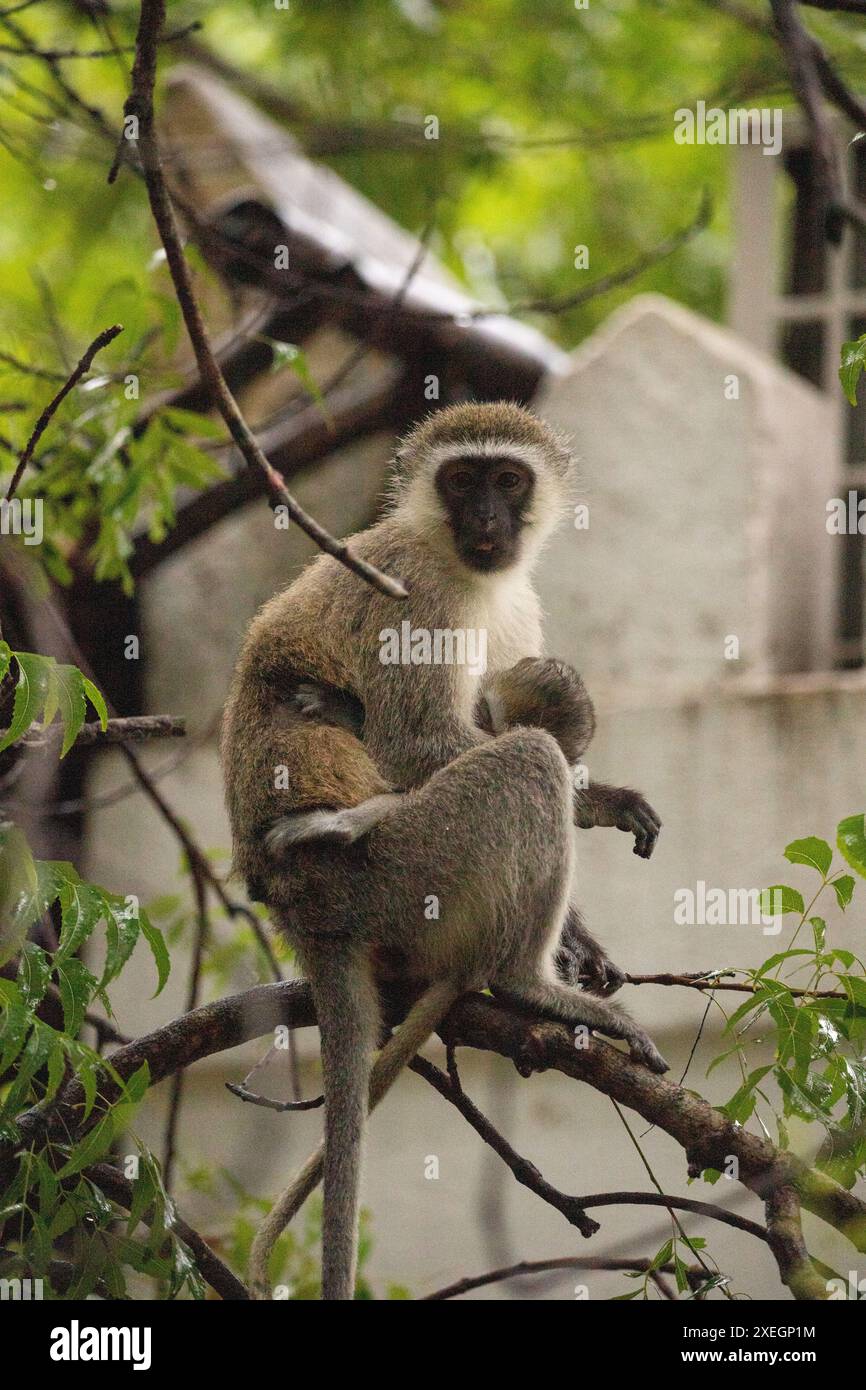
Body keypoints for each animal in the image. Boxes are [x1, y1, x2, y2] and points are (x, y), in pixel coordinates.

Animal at [220, 401, 668, 1301]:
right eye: (461, 479)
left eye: (508, 479)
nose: (487, 519)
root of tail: (300, 909)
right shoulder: (413, 591)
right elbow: (418, 740)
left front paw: (593, 863)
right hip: (401, 868)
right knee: (523, 762)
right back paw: (529, 983)